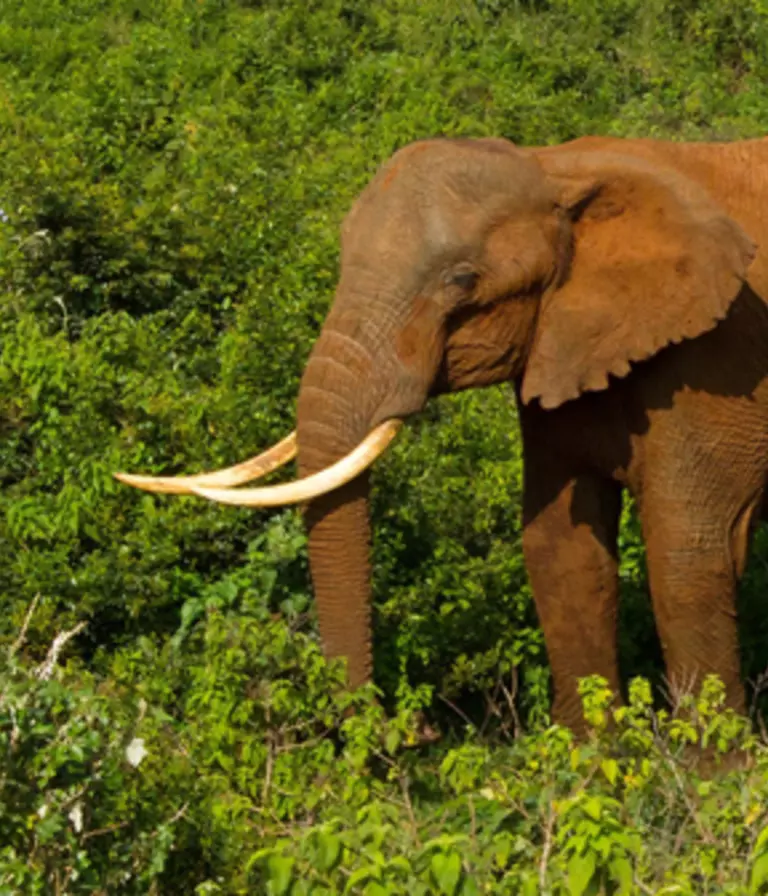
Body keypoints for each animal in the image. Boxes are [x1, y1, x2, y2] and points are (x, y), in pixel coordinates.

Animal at [117, 135, 768, 734]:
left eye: (460, 281)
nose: (407, 732)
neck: (555, 167)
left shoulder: (713, 361)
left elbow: (687, 556)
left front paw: (713, 775)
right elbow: (560, 551)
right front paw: (591, 763)